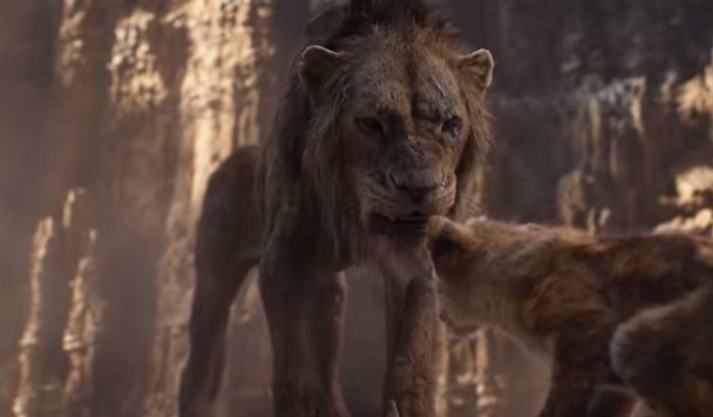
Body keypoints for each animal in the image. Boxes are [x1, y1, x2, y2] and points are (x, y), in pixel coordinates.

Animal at [178, 1, 495, 417]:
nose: (420, 188)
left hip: (330, 296)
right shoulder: (283, 261)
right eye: (371, 124)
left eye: (451, 124)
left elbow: (410, 363)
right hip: (214, 281)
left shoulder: (418, 269)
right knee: (199, 366)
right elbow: (295, 371)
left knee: (329, 374)